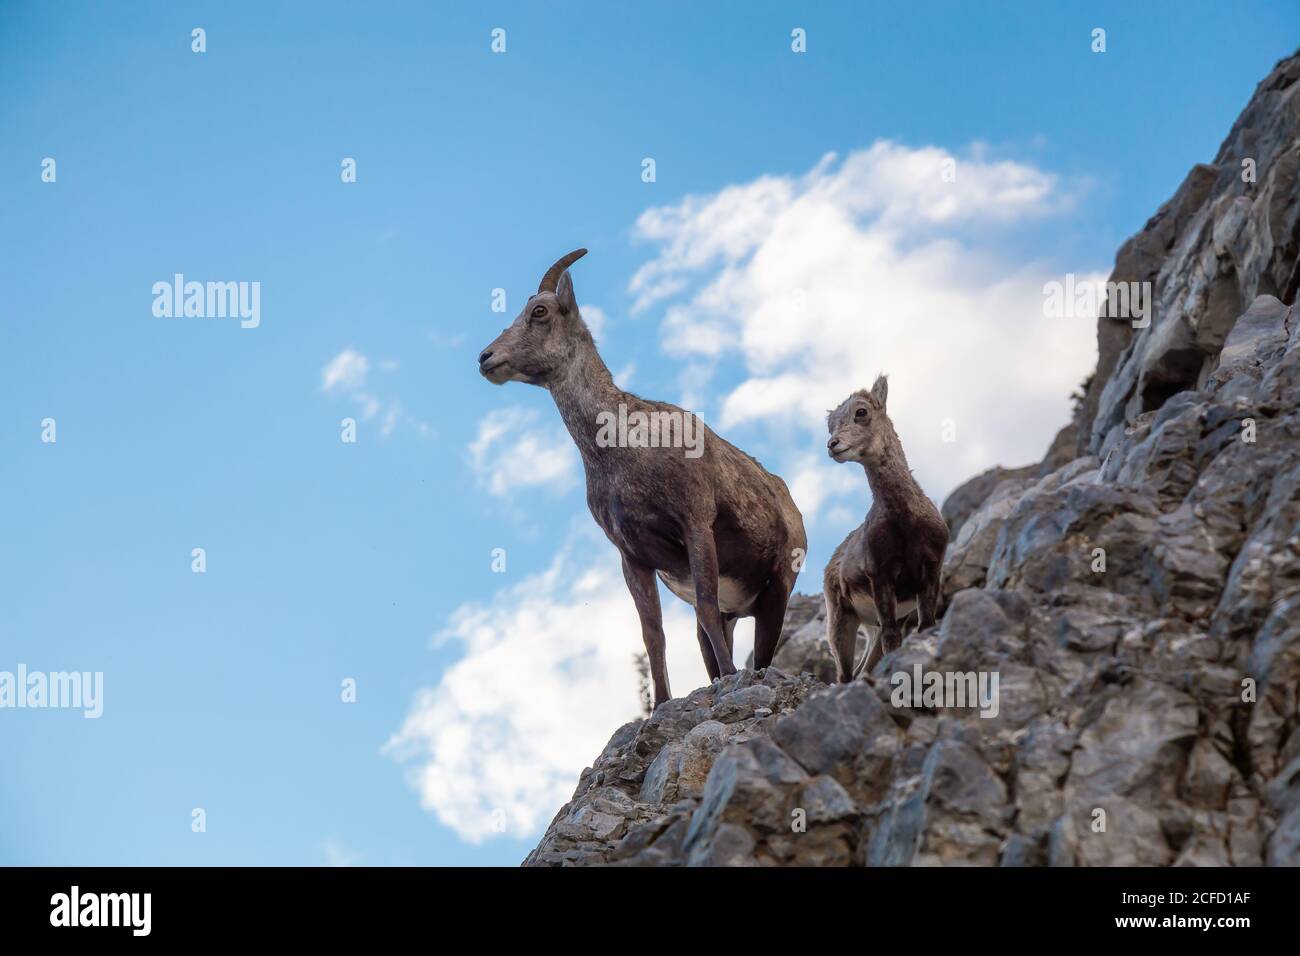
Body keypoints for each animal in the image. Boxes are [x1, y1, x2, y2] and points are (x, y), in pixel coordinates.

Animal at [477, 250, 807, 708]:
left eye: (539, 312)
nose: (486, 358)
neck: (622, 446)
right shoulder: (631, 555)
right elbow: (653, 635)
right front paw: (662, 705)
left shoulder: (695, 522)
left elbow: (704, 606)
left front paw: (728, 679)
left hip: (777, 589)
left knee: (757, 647)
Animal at [823, 375, 948, 681]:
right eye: (831, 424)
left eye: (861, 412)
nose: (833, 444)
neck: (906, 523)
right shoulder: (880, 576)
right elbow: (894, 638)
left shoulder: (931, 571)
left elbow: (926, 626)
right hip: (841, 619)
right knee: (845, 674)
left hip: (871, 627)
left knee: (863, 668)